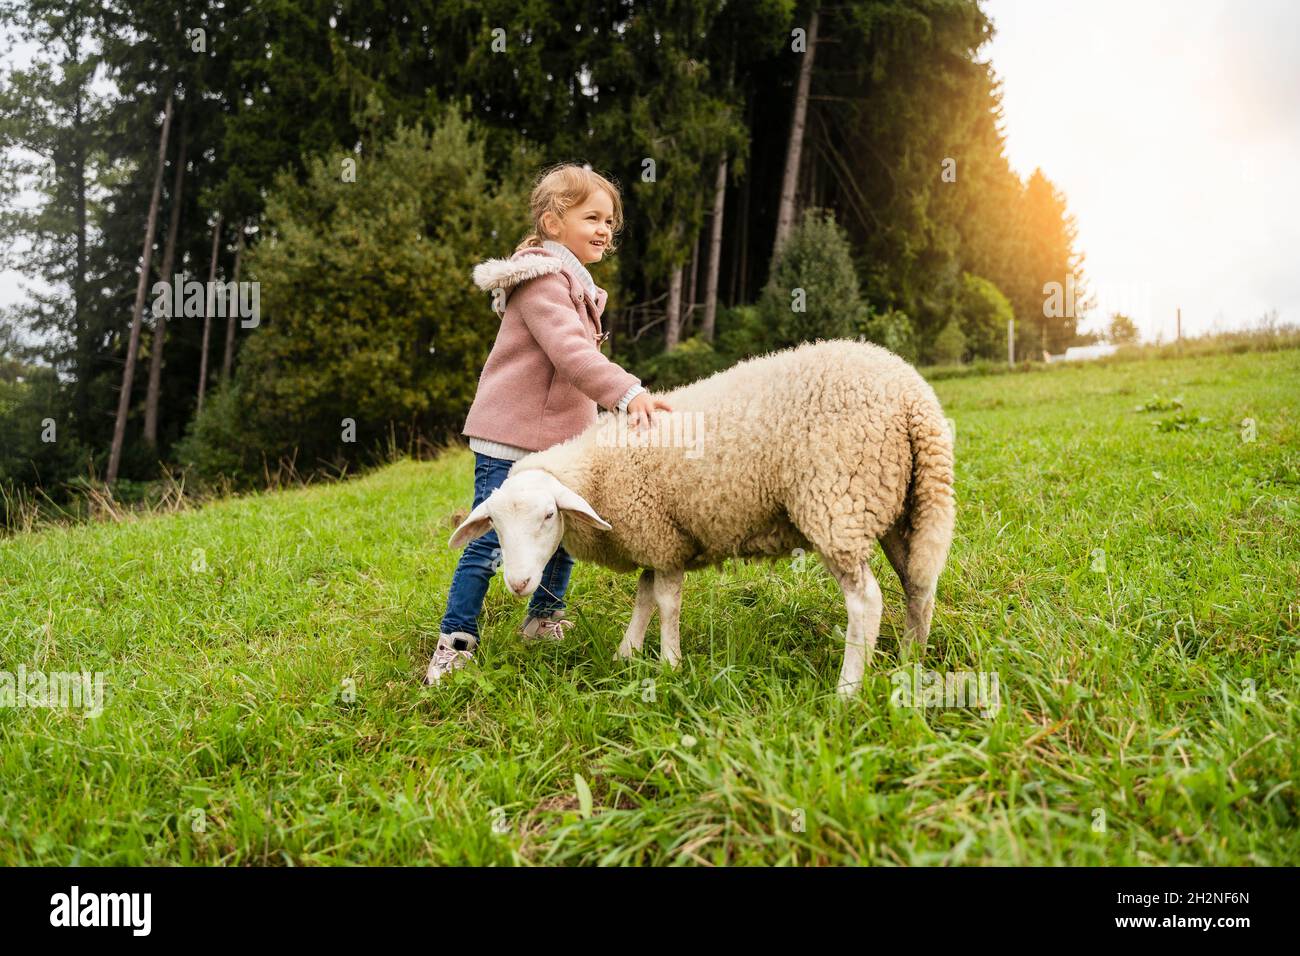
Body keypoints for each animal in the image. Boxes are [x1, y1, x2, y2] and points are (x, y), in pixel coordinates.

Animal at [449, 338, 956, 697]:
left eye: (549, 515)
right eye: (496, 527)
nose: (517, 584)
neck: (598, 472)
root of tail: (915, 400)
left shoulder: (661, 536)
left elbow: (665, 602)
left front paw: (668, 664)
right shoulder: (654, 539)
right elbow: (644, 598)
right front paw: (626, 654)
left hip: (837, 502)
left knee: (866, 601)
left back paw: (848, 689)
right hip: (901, 504)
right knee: (918, 583)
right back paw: (911, 659)